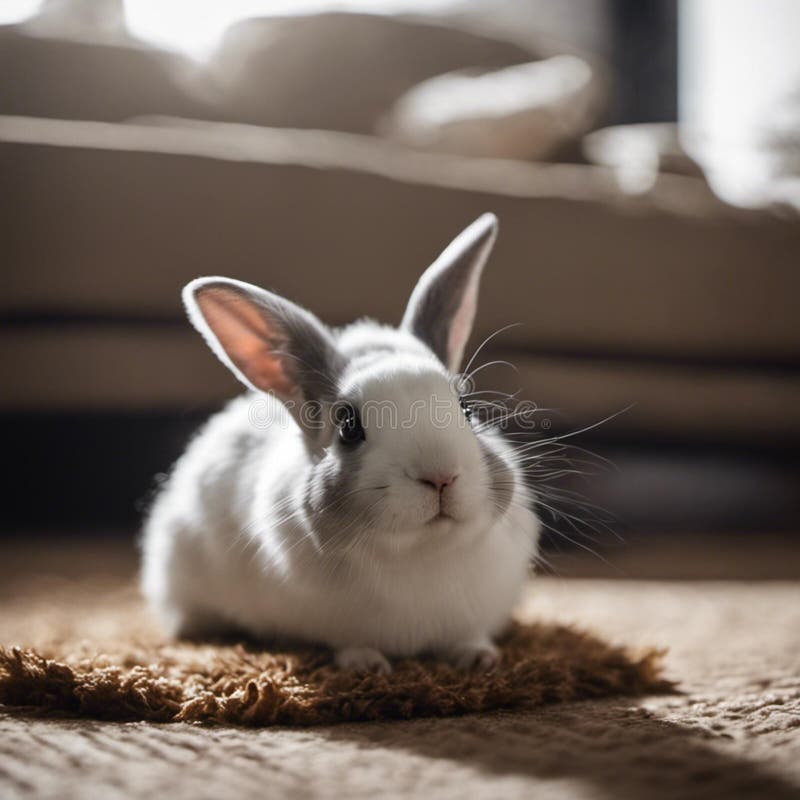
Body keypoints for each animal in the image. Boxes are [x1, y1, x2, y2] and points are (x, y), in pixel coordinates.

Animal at [141, 213, 540, 673]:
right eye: (348, 426)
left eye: (466, 407)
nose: (440, 477)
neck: (421, 552)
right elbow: (350, 643)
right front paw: (368, 667)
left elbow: (467, 635)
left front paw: (479, 659)